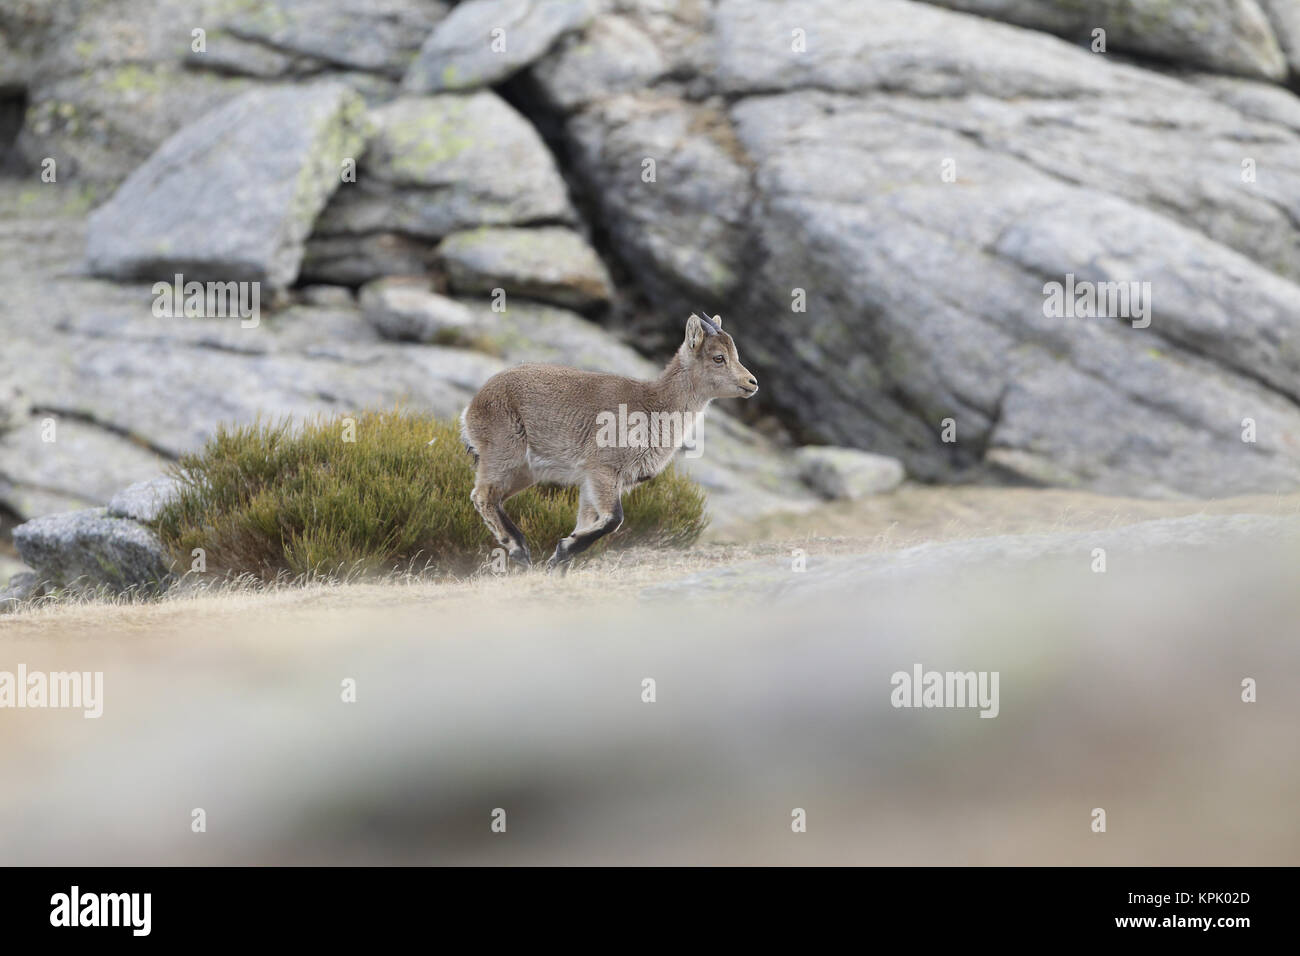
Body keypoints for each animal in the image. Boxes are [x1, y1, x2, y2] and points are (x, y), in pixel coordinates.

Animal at [460, 310, 758, 573]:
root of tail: (472, 407)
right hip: (504, 452)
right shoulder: (602, 470)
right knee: (482, 495)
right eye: (718, 357)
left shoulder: (591, 483)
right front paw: (562, 551)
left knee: (493, 498)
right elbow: (614, 519)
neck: (653, 407)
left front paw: (559, 563)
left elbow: (586, 523)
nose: (752, 382)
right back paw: (519, 550)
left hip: (525, 472)